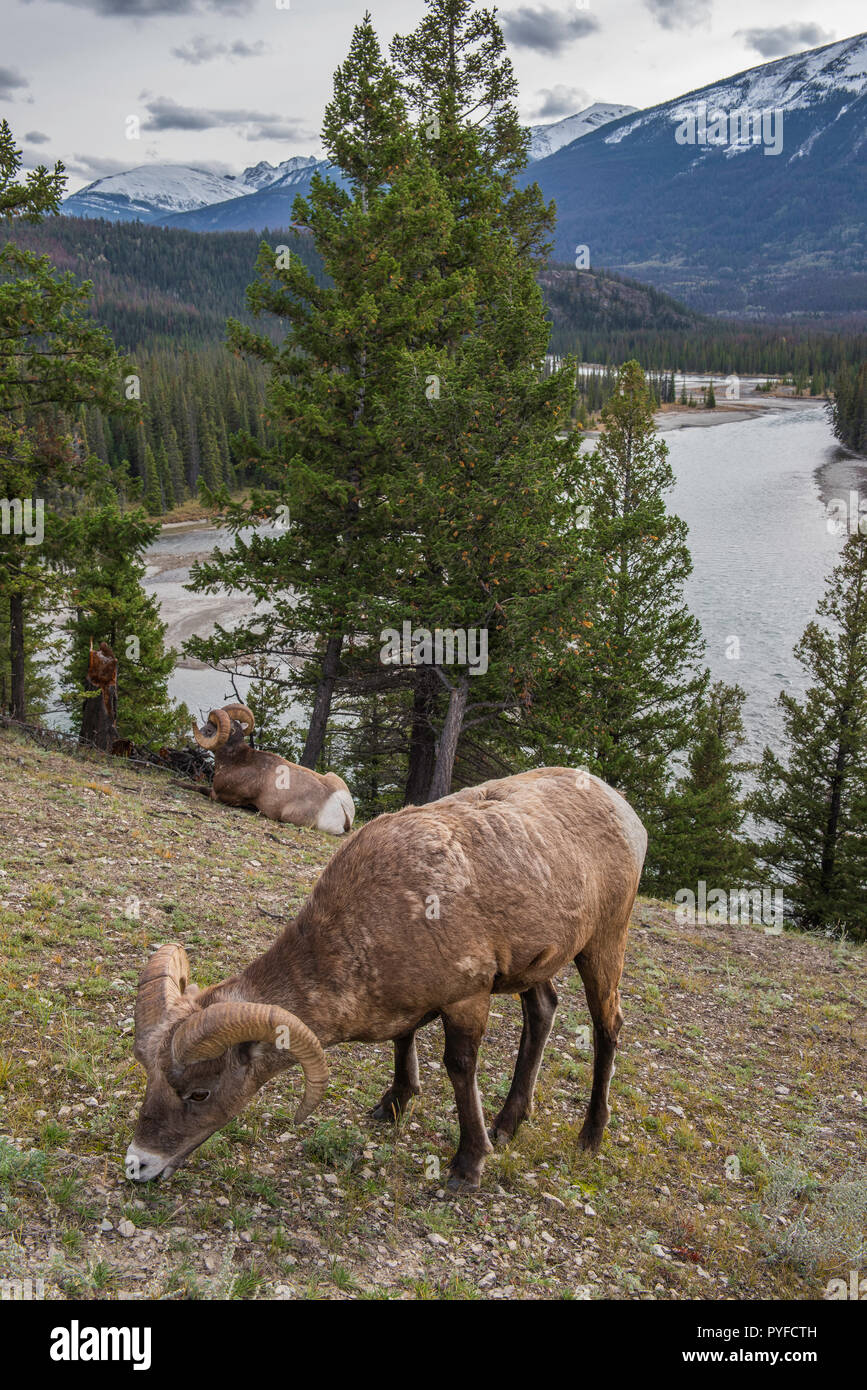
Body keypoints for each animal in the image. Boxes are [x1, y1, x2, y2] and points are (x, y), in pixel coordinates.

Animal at [126, 767, 647, 1192]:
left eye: (200, 1092)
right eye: (150, 1077)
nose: (138, 1165)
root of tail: (624, 811)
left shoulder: (467, 1000)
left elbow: (459, 1068)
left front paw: (467, 1167)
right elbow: (403, 1041)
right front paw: (394, 1104)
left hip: (604, 943)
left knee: (608, 1026)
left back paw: (589, 1136)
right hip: (536, 964)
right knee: (542, 1012)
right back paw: (508, 1124)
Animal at [191, 702, 354, 835]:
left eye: (211, 729)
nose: (199, 732)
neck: (237, 761)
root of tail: (341, 811)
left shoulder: (219, 795)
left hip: (288, 817)